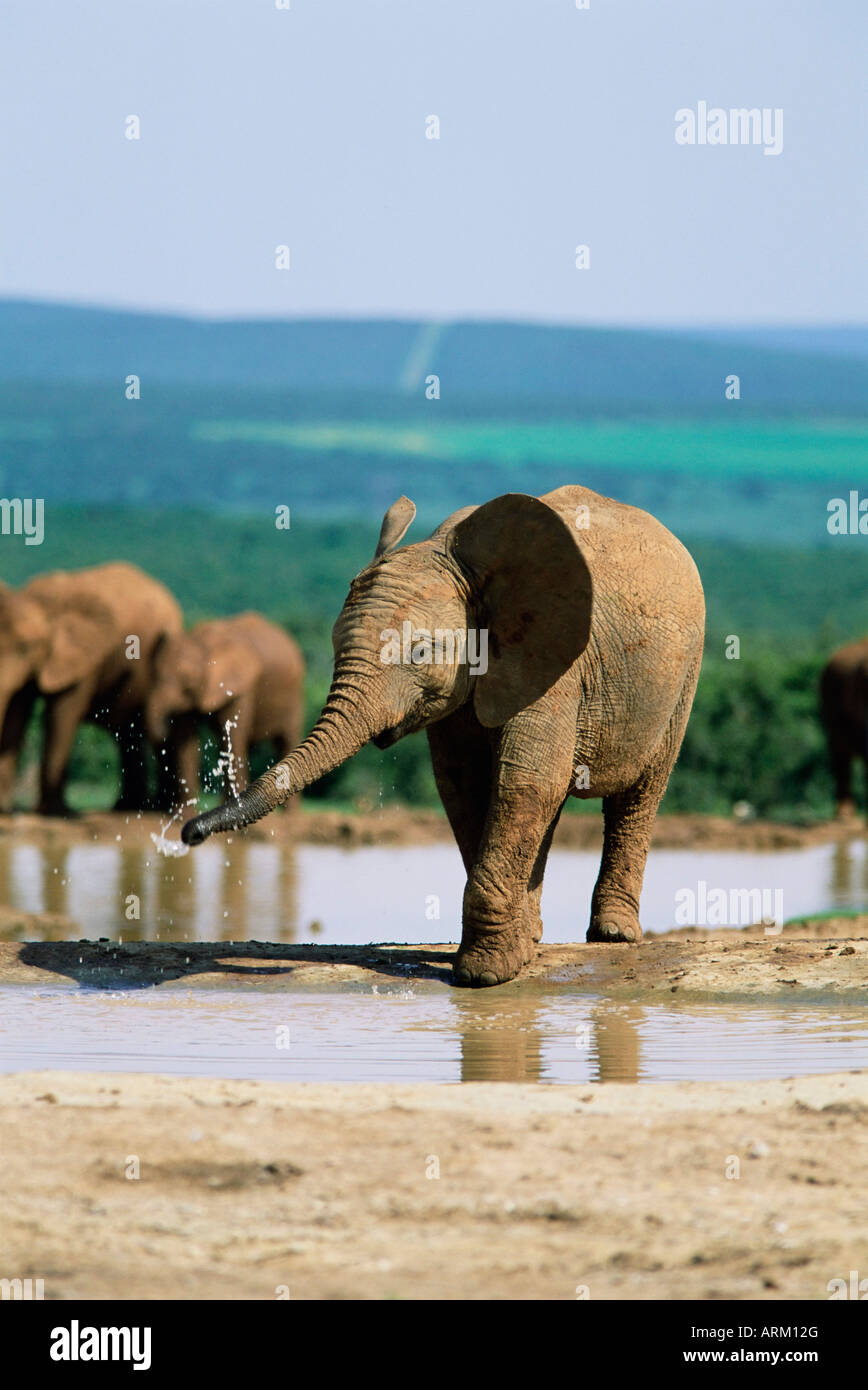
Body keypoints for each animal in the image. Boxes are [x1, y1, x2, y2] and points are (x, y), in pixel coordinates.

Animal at [0, 563, 183, 814]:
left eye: (25, 648)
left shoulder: (82, 661)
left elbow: (61, 714)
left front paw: (54, 811)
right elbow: (16, 714)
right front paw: (4, 808)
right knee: (127, 734)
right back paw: (126, 806)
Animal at [145, 612, 305, 806]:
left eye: (187, 681)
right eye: (153, 674)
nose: (165, 726)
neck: (203, 641)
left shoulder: (242, 686)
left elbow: (229, 735)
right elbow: (186, 740)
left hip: (295, 696)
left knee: (285, 740)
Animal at [182, 486, 705, 987]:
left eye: (419, 652)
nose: (190, 832)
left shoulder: (552, 660)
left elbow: (526, 781)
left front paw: (483, 976)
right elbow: (465, 785)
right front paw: (512, 954)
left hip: (684, 674)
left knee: (637, 794)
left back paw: (613, 935)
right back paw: (536, 934)